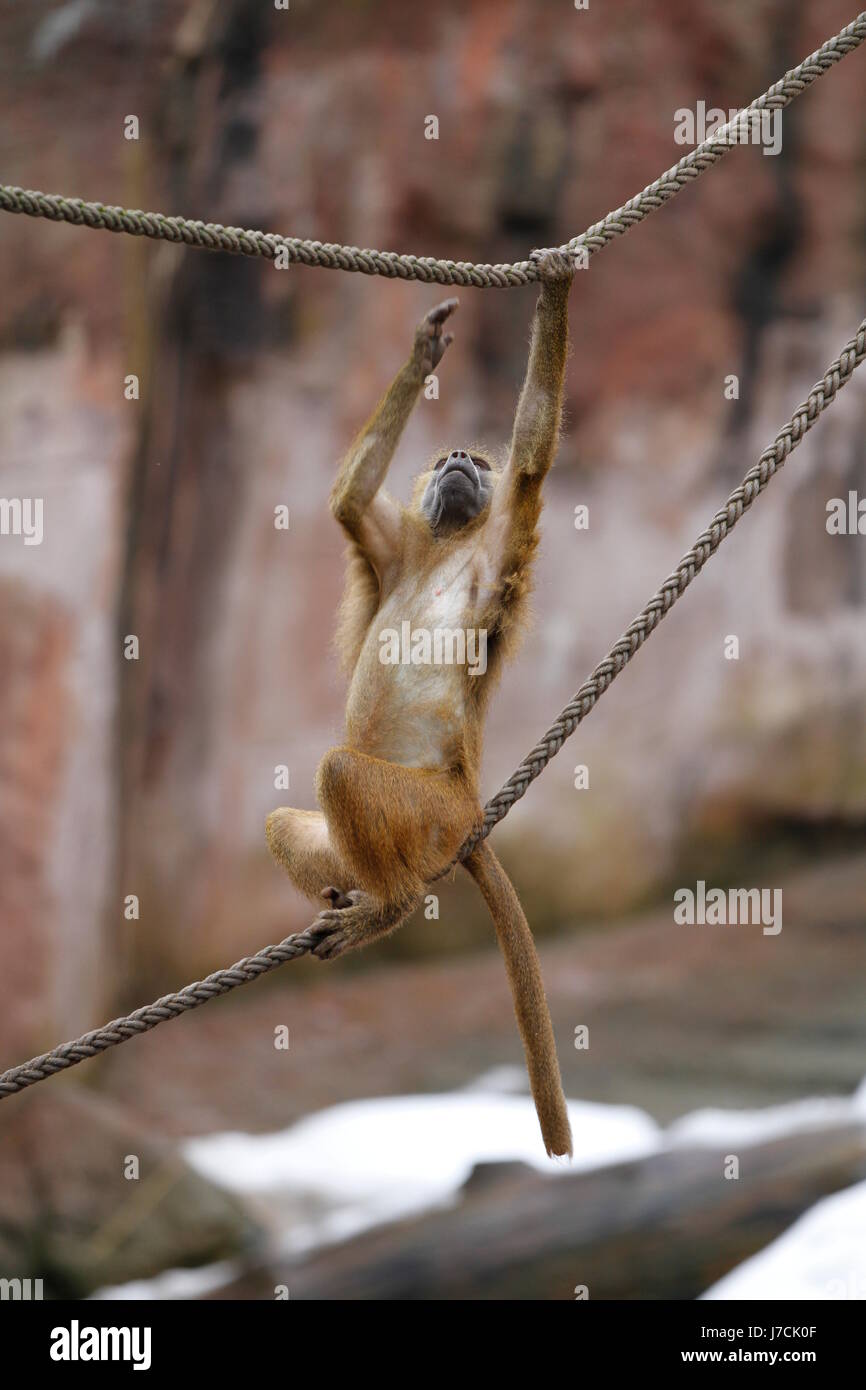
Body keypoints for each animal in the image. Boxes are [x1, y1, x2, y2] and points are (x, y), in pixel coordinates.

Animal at [266, 247, 575, 1157]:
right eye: (445, 464)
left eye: (473, 460)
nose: (458, 464)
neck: (450, 542)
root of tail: (467, 801)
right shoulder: (395, 544)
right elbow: (349, 503)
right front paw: (423, 348)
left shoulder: (507, 532)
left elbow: (533, 452)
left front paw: (555, 285)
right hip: (385, 838)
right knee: (296, 825)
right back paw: (358, 902)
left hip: (424, 809)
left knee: (342, 774)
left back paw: (390, 912)